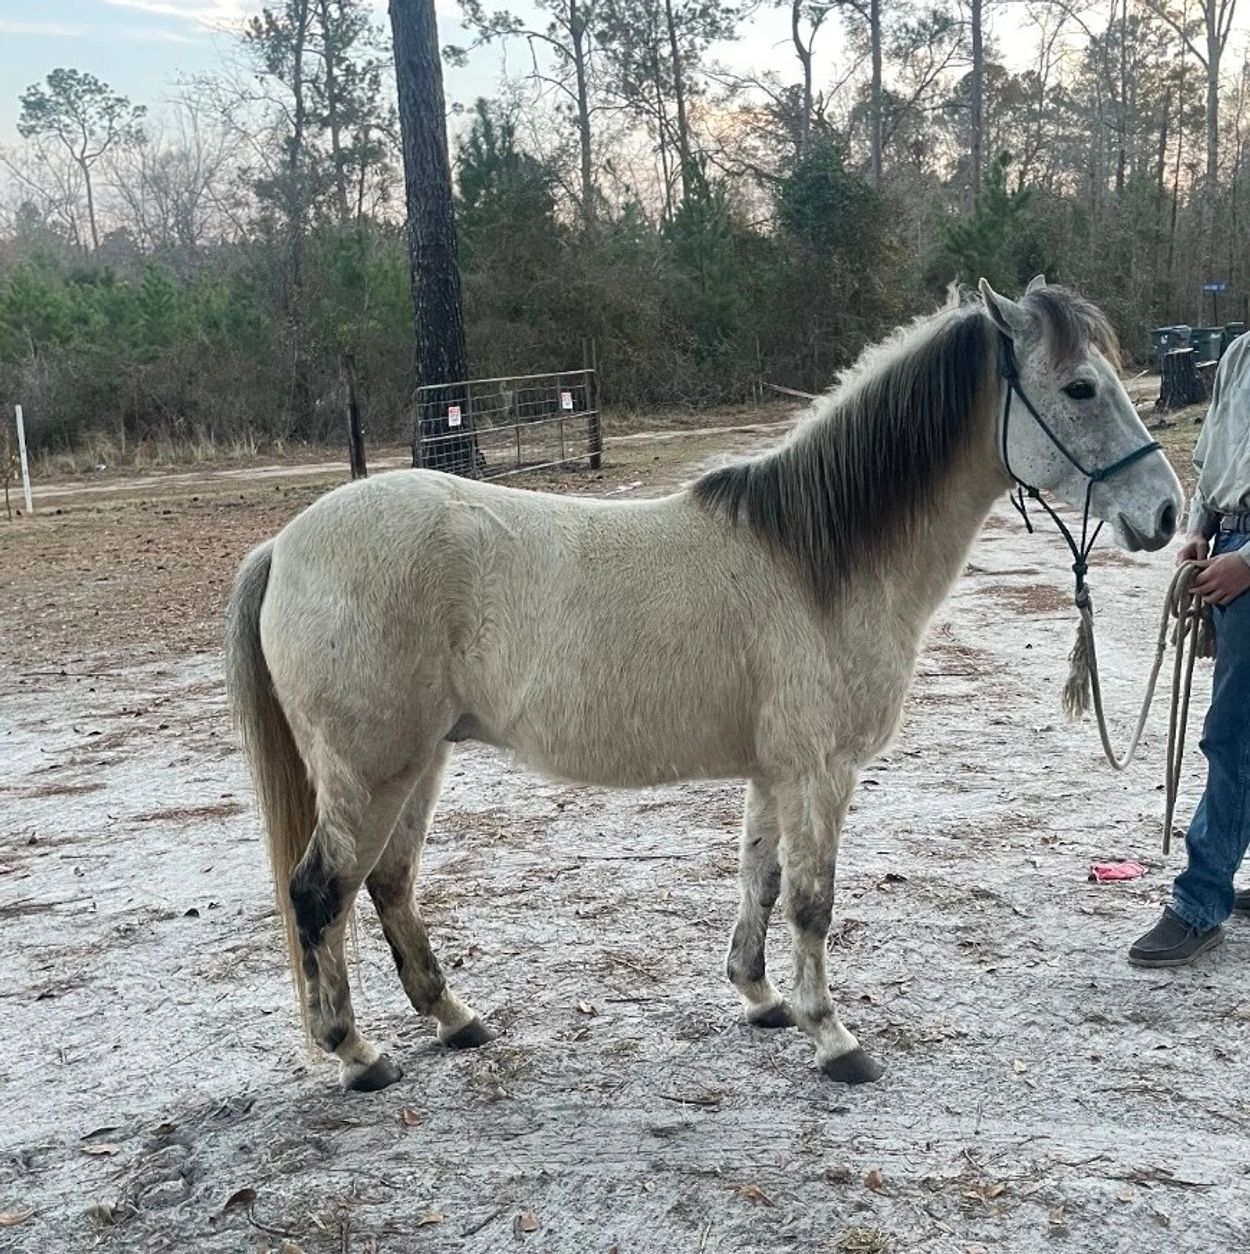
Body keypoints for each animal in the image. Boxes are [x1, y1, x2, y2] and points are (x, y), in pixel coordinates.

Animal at [225, 278, 1183, 1093]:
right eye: (1081, 388)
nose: (1168, 513)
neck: (819, 561)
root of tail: (287, 545)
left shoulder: (775, 771)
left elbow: (759, 880)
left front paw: (761, 1000)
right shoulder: (821, 771)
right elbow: (813, 903)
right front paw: (835, 1038)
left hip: (418, 763)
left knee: (388, 884)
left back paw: (455, 1019)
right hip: (371, 769)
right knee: (321, 893)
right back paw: (357, 1054)